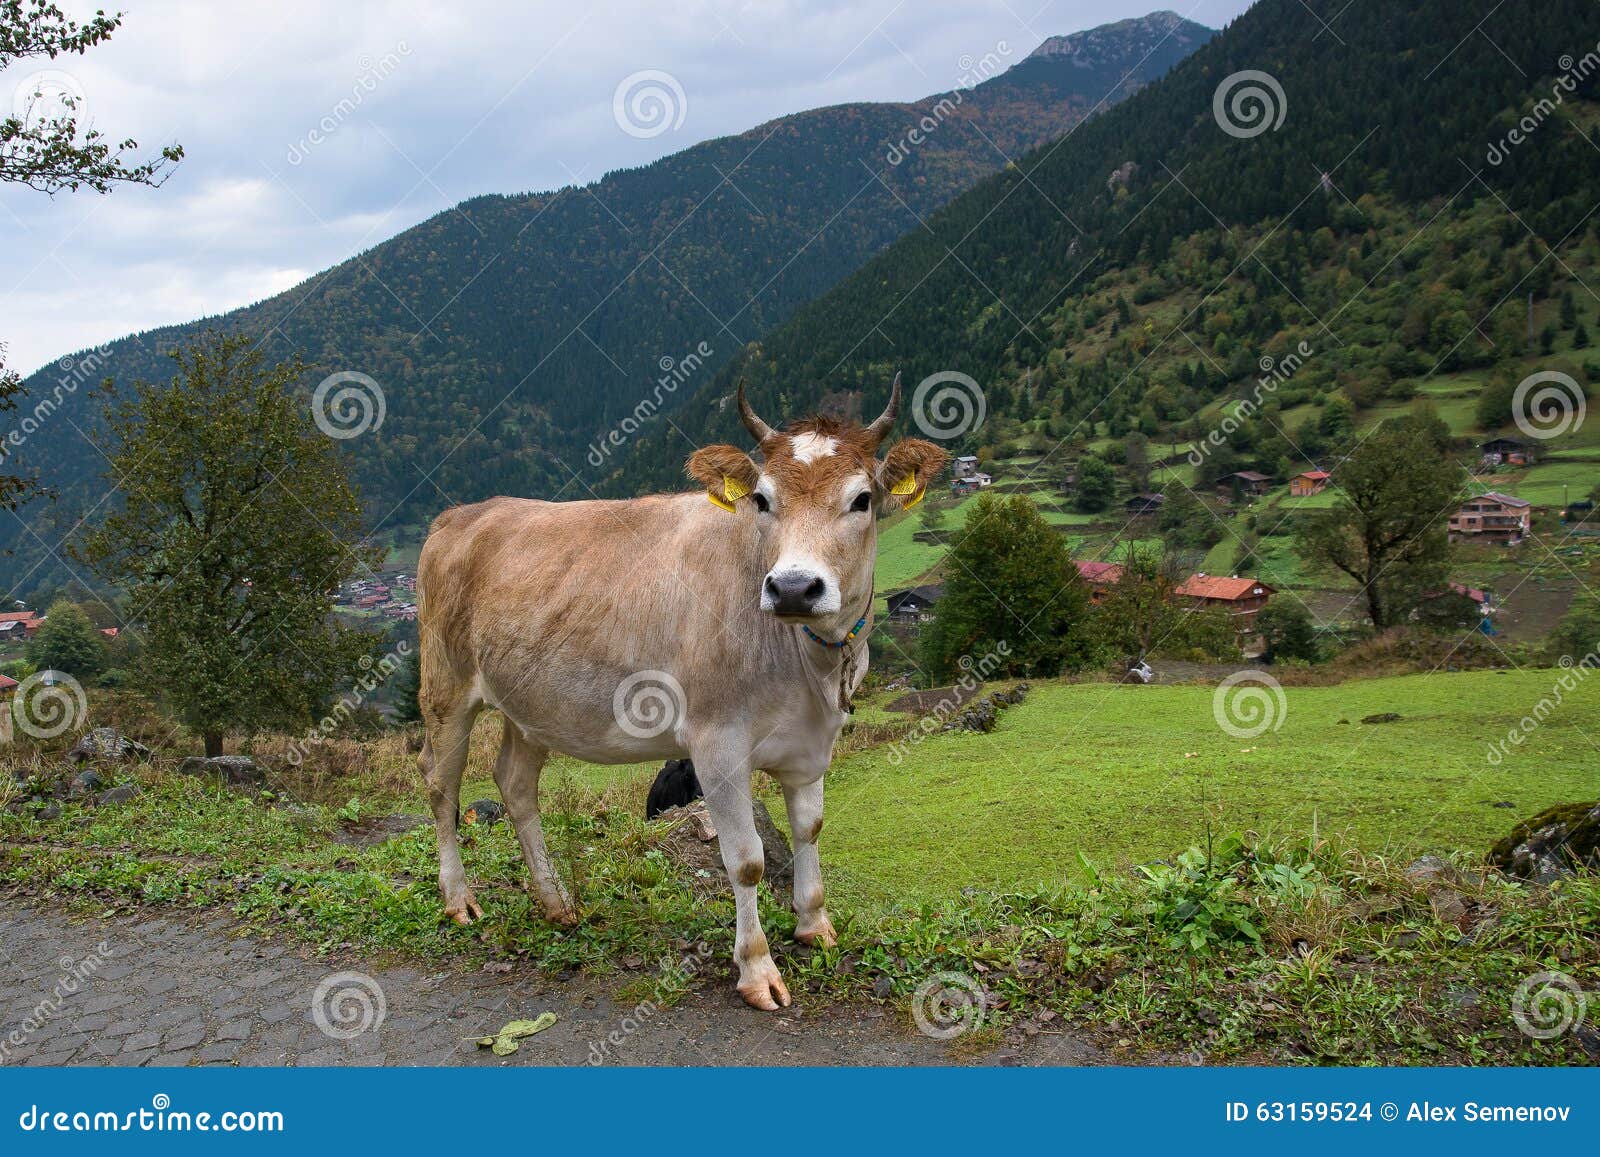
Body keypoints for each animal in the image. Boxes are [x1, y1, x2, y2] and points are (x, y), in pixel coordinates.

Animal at [415, 375, 945, 1009]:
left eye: (862, 499)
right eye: (762, 499)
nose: (793, 587)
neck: (808, 664)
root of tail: (464, 513)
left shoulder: (811, 742)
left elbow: (809, 830)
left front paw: (815, 926)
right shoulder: (716, 745)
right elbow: (746, 862)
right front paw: (757, 969)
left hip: (531, 704)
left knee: (516, 784)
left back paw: (556, 903)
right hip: (445, 686)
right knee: (441, 785)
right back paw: (458, 900)